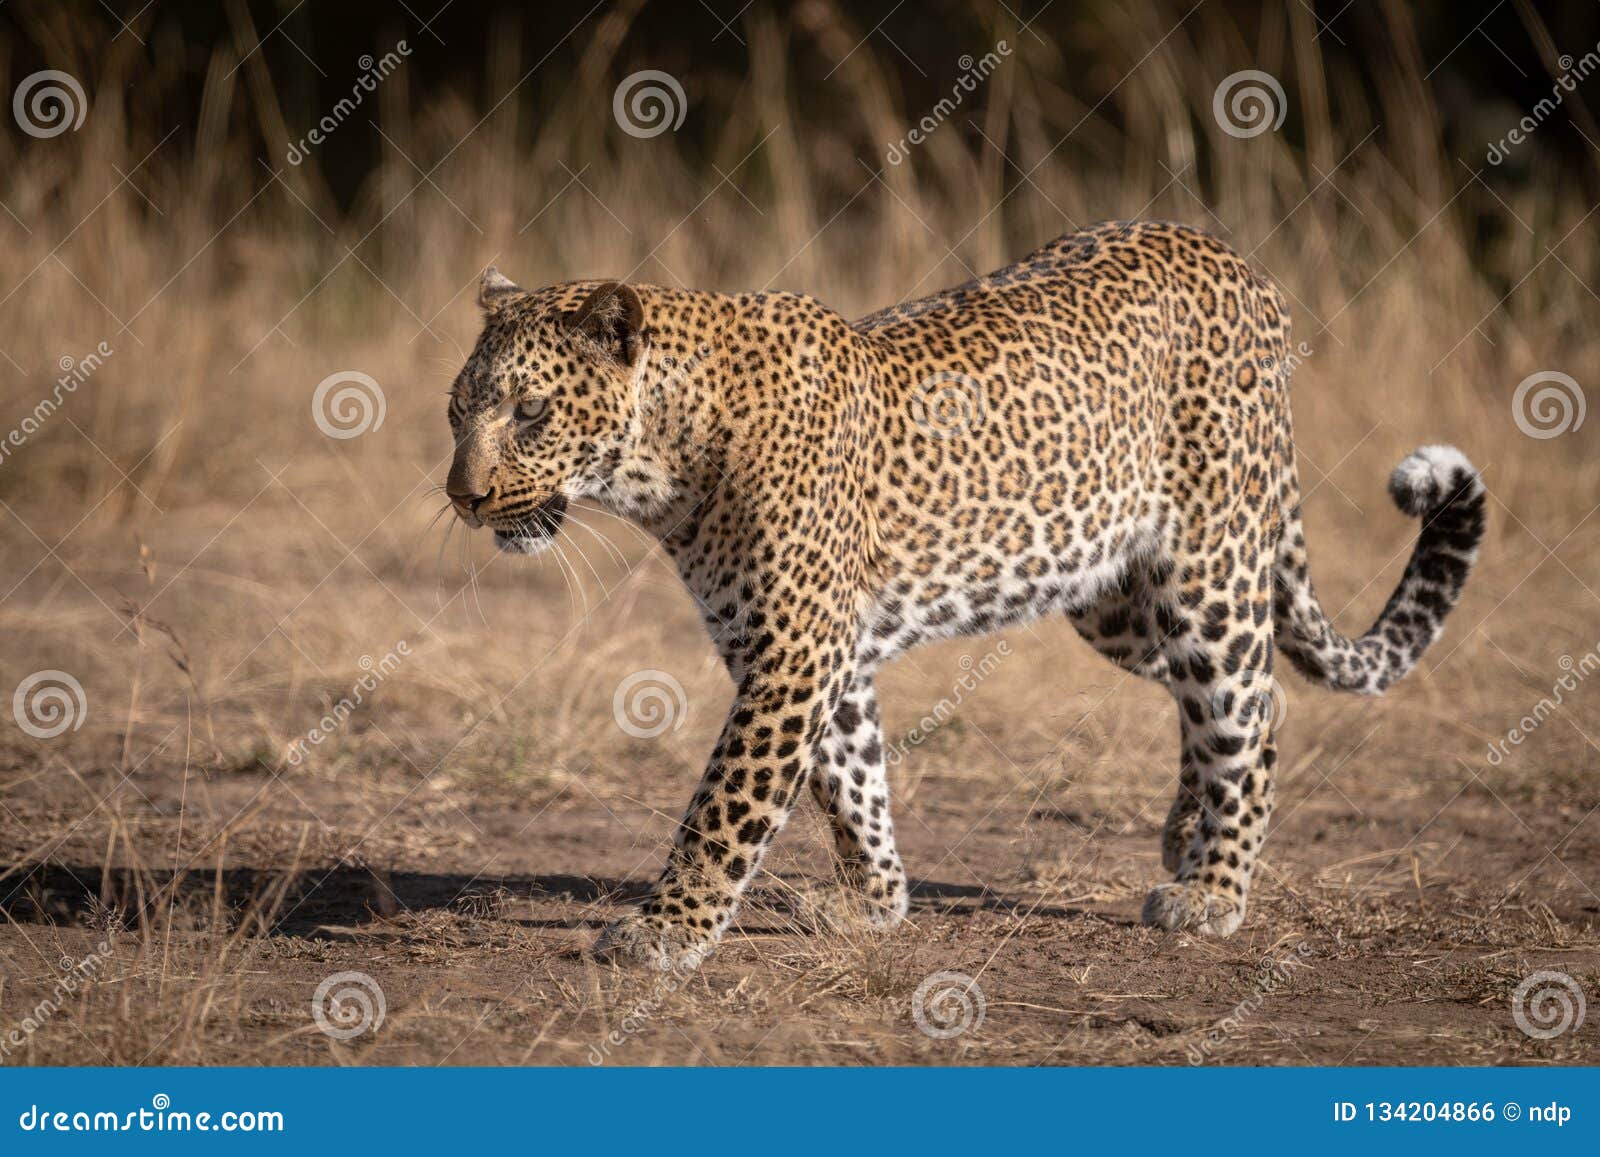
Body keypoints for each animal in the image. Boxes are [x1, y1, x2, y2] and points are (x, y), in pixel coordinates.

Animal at [443, 219, 1486, 969]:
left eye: (530, 412)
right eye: (458, 411)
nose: (463, 495)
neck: (668, 459)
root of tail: (1238, 260)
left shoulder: (793, 652)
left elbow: (727, 801)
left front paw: (666, 929)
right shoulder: (804, 649)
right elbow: (851, 780)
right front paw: (873, 904)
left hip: (1208, 567)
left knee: (1250, 709)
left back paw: (1214, 889)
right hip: (1110, 595)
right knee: (1229, 699)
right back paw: (1186, 832)